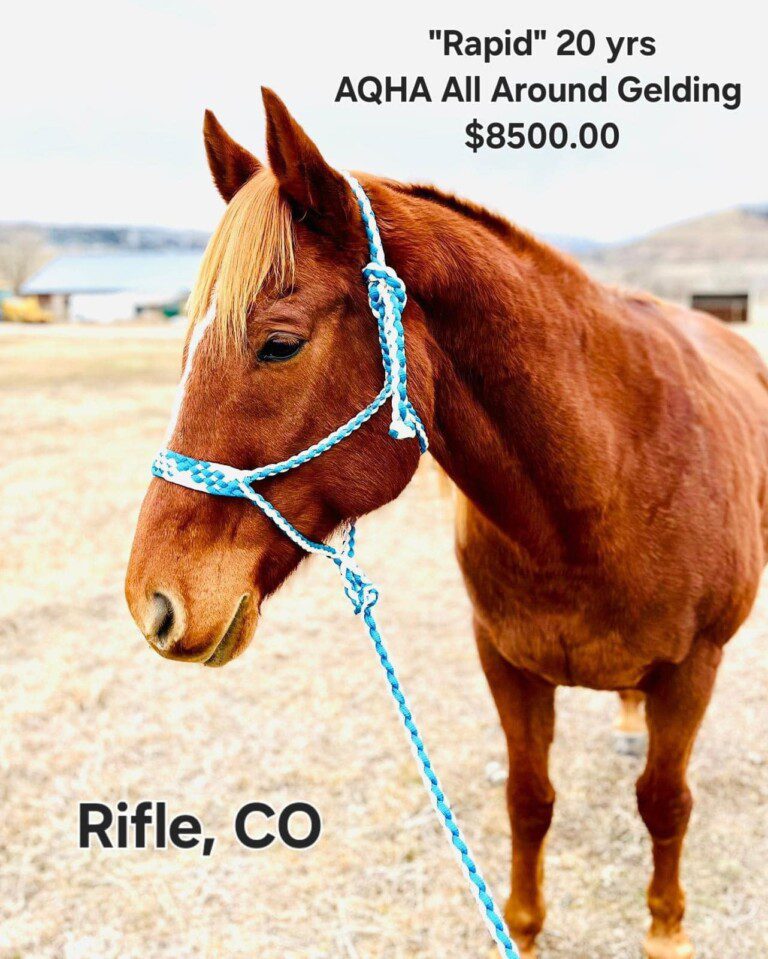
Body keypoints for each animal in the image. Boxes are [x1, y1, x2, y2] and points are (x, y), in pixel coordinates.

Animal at [125, 89, 768, 959]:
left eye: (280, 344)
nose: (152, 601)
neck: (603, 494)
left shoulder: (693, 669)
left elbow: (665, 800)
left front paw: (665, 928)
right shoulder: (504, 659)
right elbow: (528, 798)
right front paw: (522, 925)